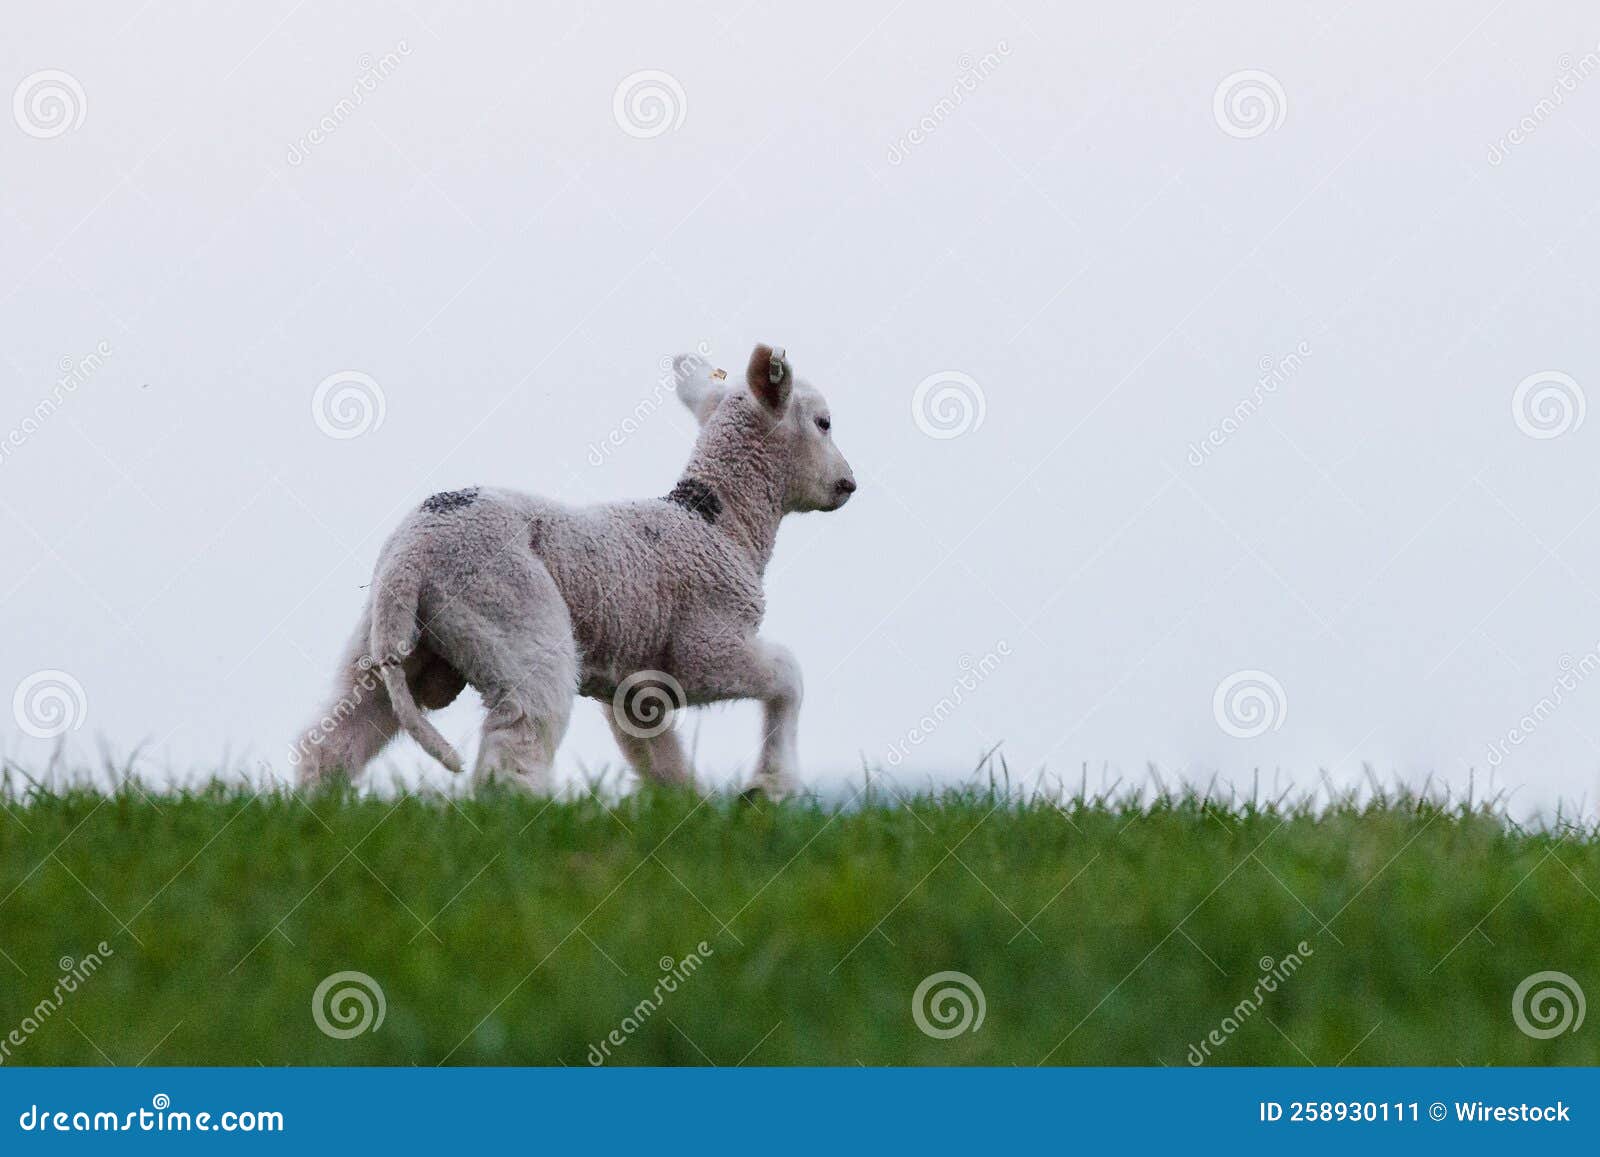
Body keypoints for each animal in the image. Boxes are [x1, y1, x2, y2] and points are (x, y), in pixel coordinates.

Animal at [292, 343, 857, 798]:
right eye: (824, 422)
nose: (848, 485)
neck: (719, 521)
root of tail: (412, 554)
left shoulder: (637, 683)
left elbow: (657, 753)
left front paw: (687, 811)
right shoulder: (704, 645)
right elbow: (789, 676)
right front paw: (769, 788)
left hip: (383, 635)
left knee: (336, 736)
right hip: (509, 609)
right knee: (517, 742)